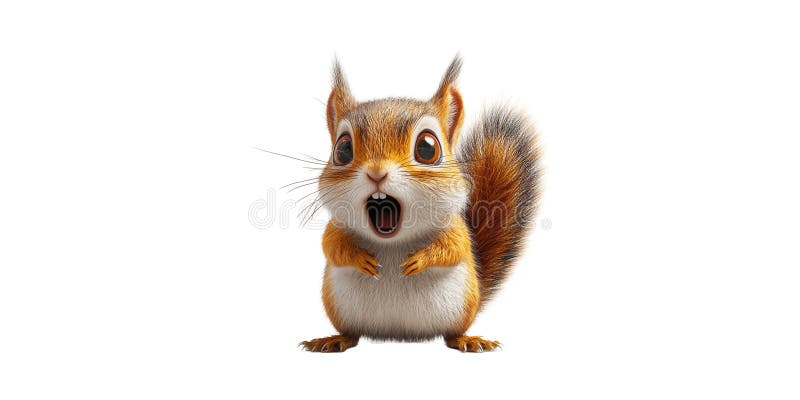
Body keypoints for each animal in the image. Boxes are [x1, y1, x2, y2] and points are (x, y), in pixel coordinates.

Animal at [300, 56, 541, 352]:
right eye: (343, 150)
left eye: (427, 148)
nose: (377, 172)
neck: (392, 243)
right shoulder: (335, 226)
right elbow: (331, 245)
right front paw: (360, 259)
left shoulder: (455, 228)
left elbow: (454, 247)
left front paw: (419, 260)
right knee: (352, 333)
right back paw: (335, 339)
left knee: (451, 334)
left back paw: (467, 340)